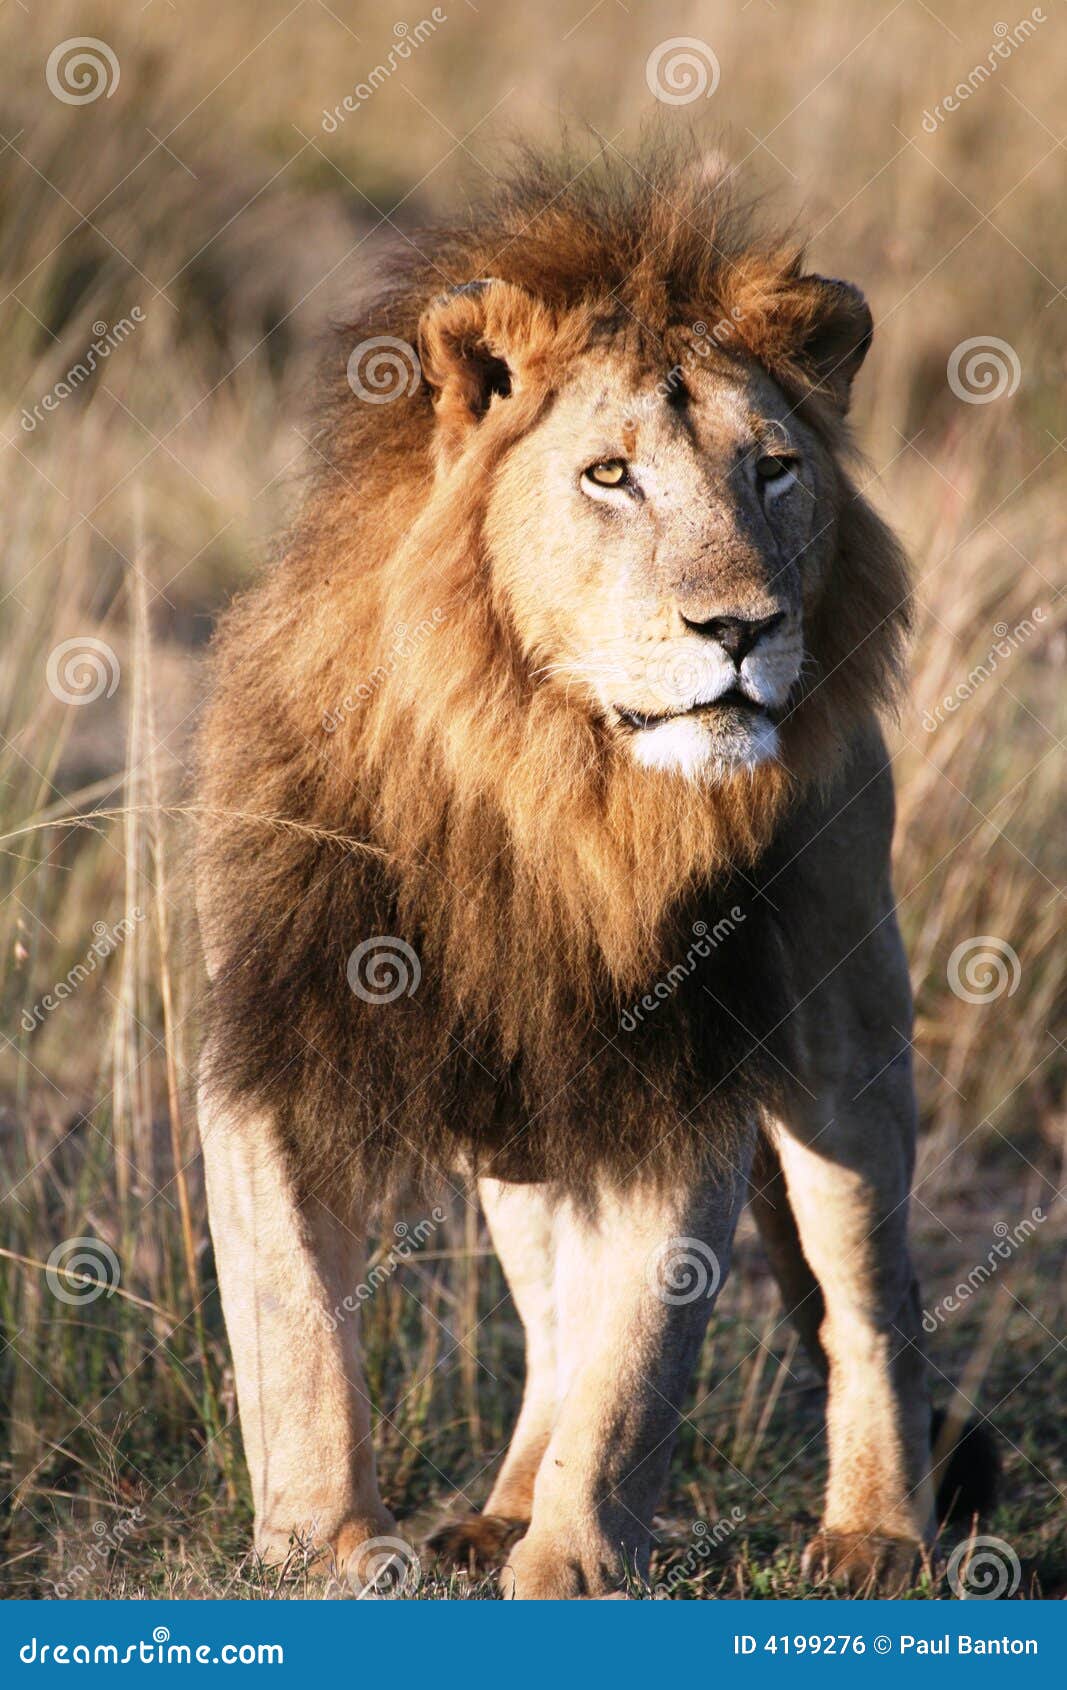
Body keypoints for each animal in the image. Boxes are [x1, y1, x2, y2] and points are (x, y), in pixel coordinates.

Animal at [195, 151, 992, 1598]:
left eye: (774, 470)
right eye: (608, 475)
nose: (742, 627)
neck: (542, 778)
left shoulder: (688, 1073)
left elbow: (634, 1368)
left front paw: (568, 1568)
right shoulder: (271, 1035)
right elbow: (293, 1324)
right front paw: (322, 1548)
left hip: (844, 1042)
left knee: (870, 1301)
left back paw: (873, 1530)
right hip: (526, 1109)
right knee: (551, 1305)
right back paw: (496, 1507)